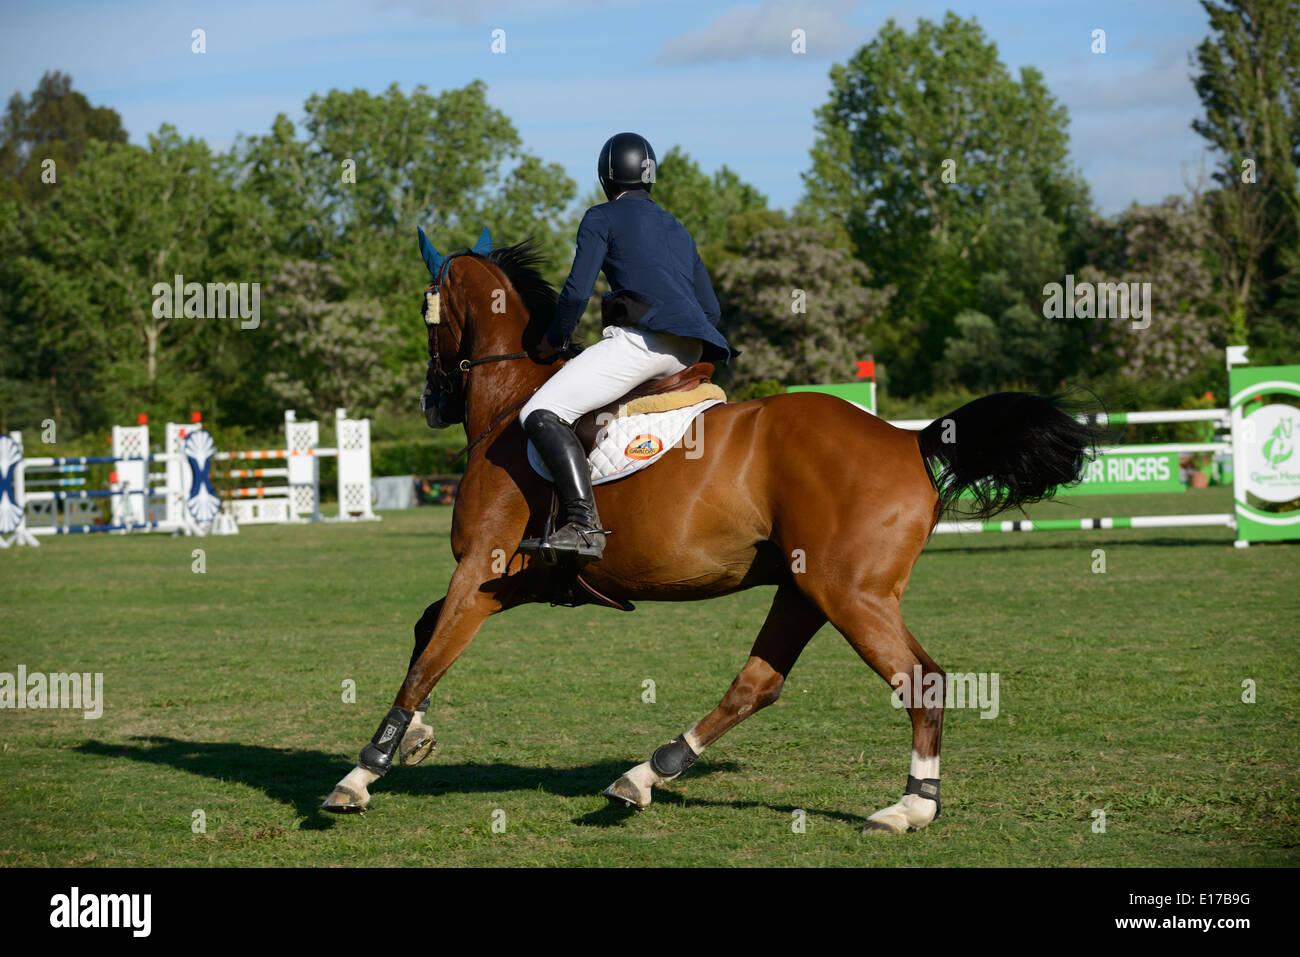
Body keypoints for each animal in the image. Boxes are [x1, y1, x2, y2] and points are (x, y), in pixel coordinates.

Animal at [322, 233, 1102, 834]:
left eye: (428, 310)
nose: (432, 399)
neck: (512, 405)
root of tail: (906, 440)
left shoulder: (481, 570)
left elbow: (429, 654)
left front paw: (364, 771)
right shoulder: (516, 580)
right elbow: (428, 632)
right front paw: (417, 736)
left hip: (849, 594)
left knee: (920, 679)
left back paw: (907, 807)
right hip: (807, 590)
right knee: (758, 684)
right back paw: (649, 772)